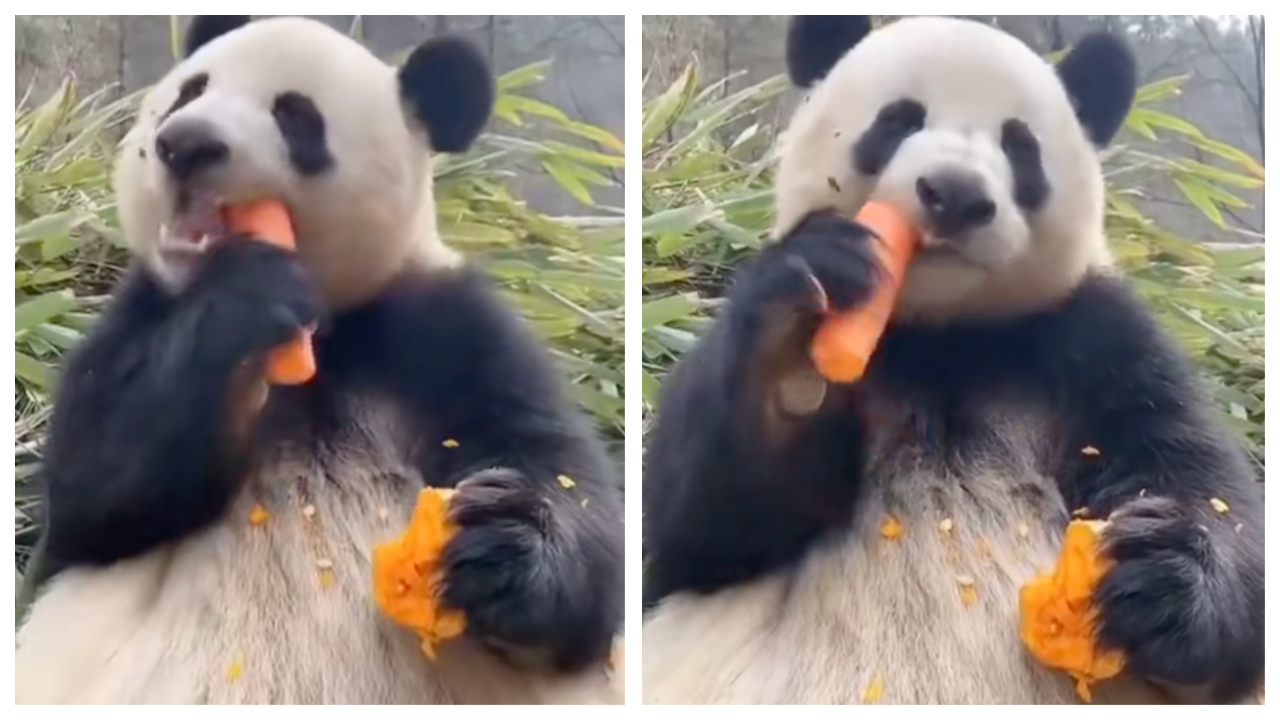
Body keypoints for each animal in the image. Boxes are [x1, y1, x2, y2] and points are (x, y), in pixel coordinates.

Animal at [16, 16, 623, 705]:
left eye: (296, 117)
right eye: (190, 90)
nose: (186, 144)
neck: (322, 331)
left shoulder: (442, 328)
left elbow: (571, 500)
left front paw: (501, 549)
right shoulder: (146, 303)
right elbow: (94, 488)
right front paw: (248, 294)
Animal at [642, 16, 1263, 705]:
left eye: (1019, 147)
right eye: (899, 119)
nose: (957, 195)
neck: (944, 333)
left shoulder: (1095, 340)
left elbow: (1205, 484)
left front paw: (1161, 581)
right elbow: (698, 528)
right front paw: (796, 338)